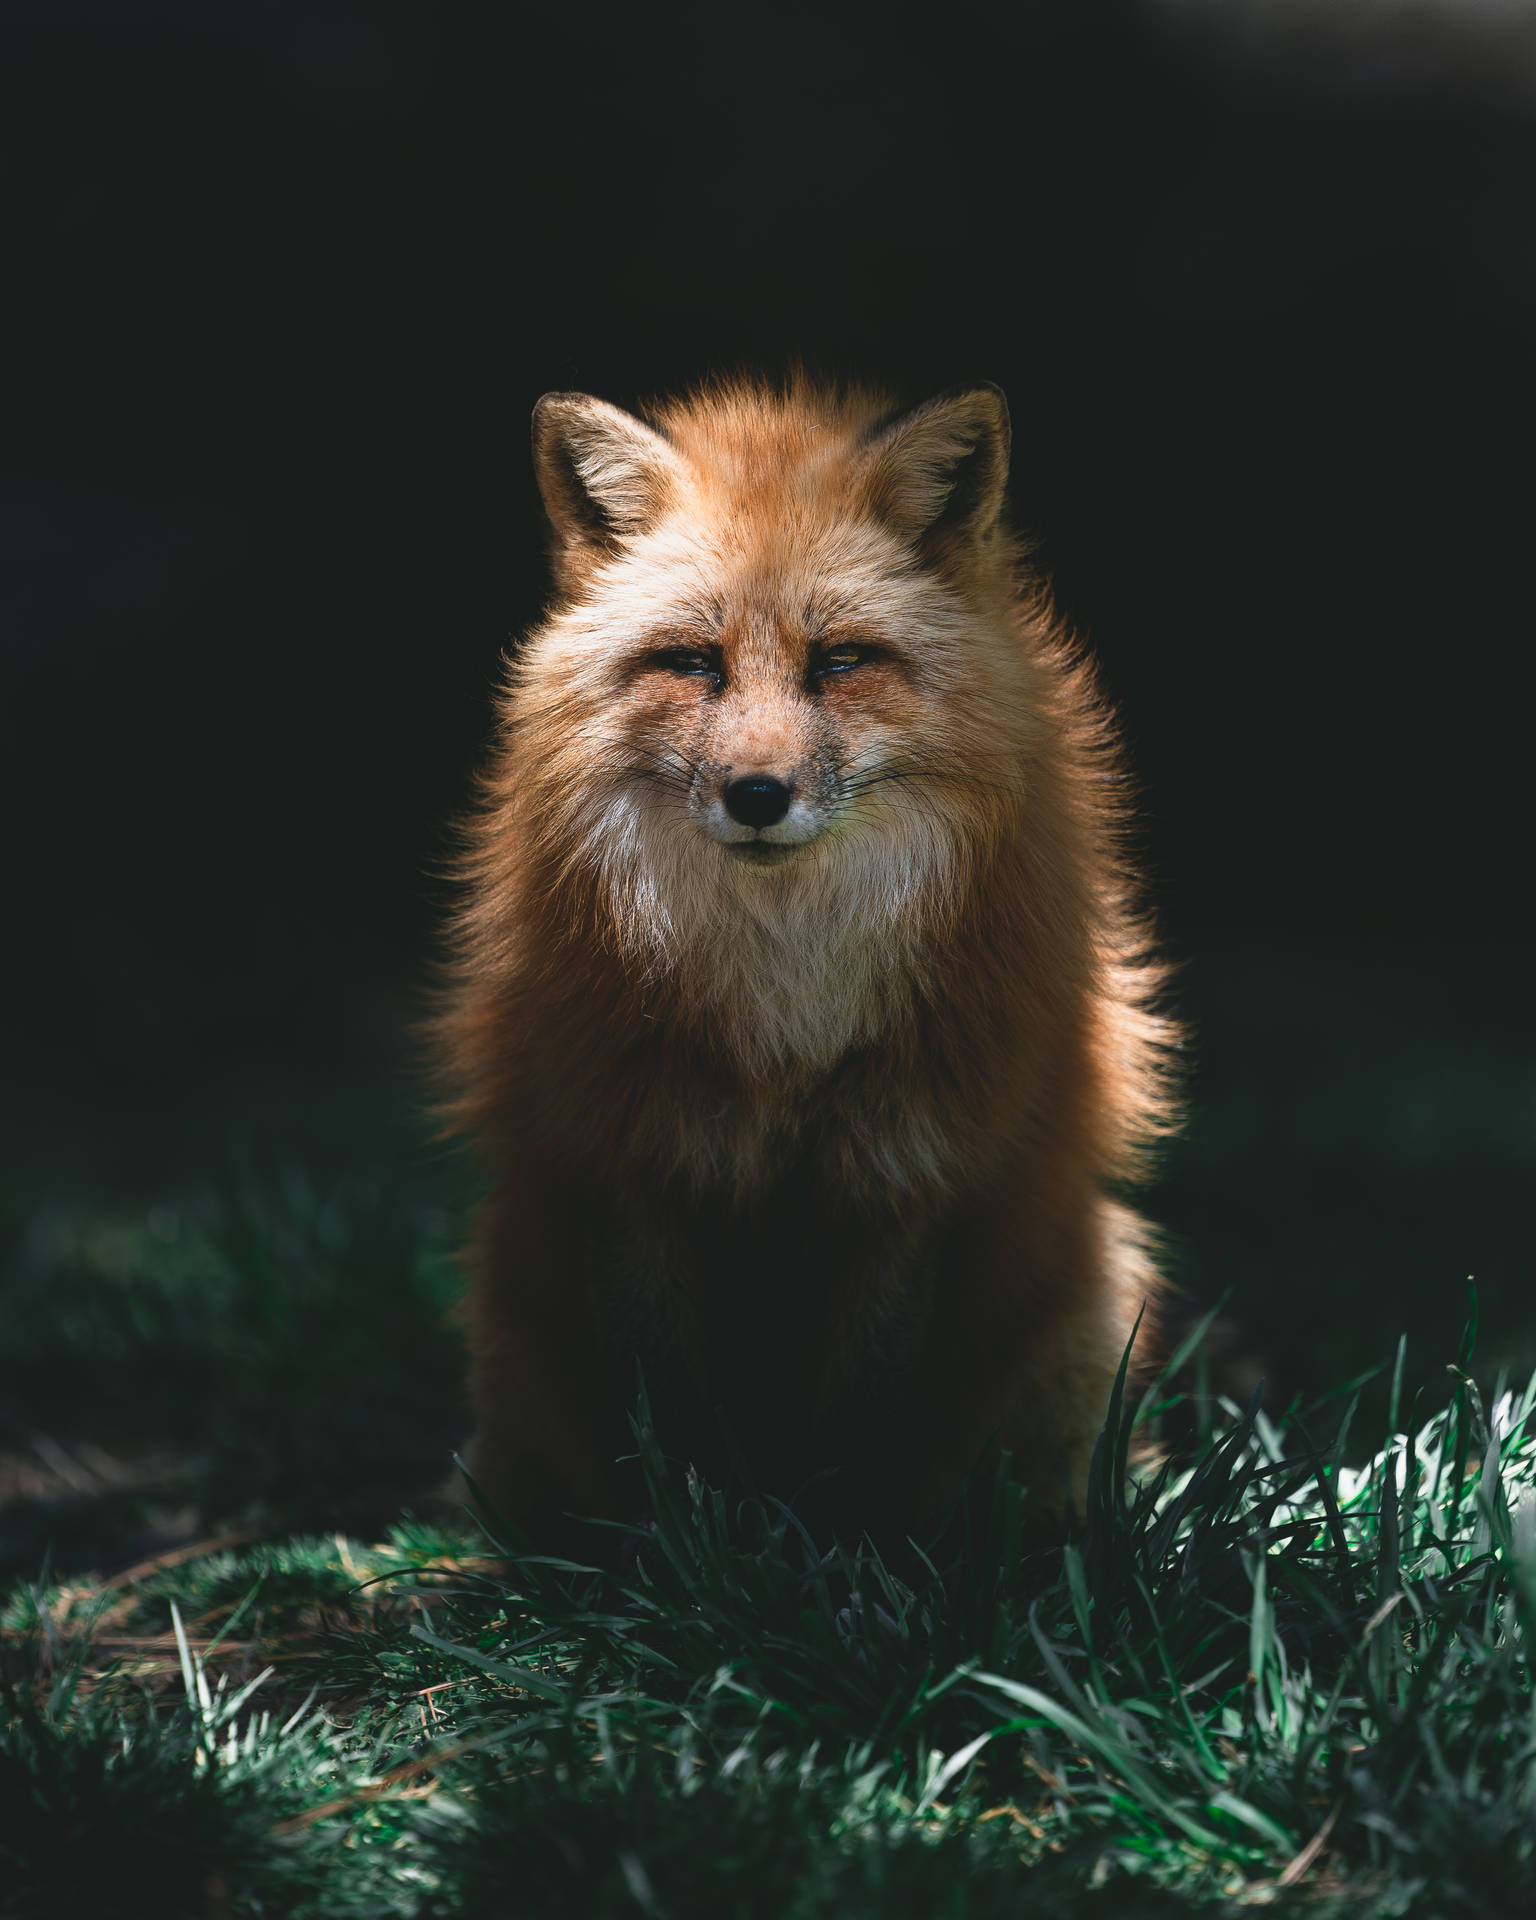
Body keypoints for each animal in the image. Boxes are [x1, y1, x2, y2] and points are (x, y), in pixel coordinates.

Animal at [436, 376, 1178, 1544]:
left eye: (840, 661)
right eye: (694, 662)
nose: (757, 796)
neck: (786, 1006)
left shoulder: (907, 1170)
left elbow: (857, 1422)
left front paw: (843, 1558)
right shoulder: (630, 1161)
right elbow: (670, 1418)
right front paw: (682, 1552)